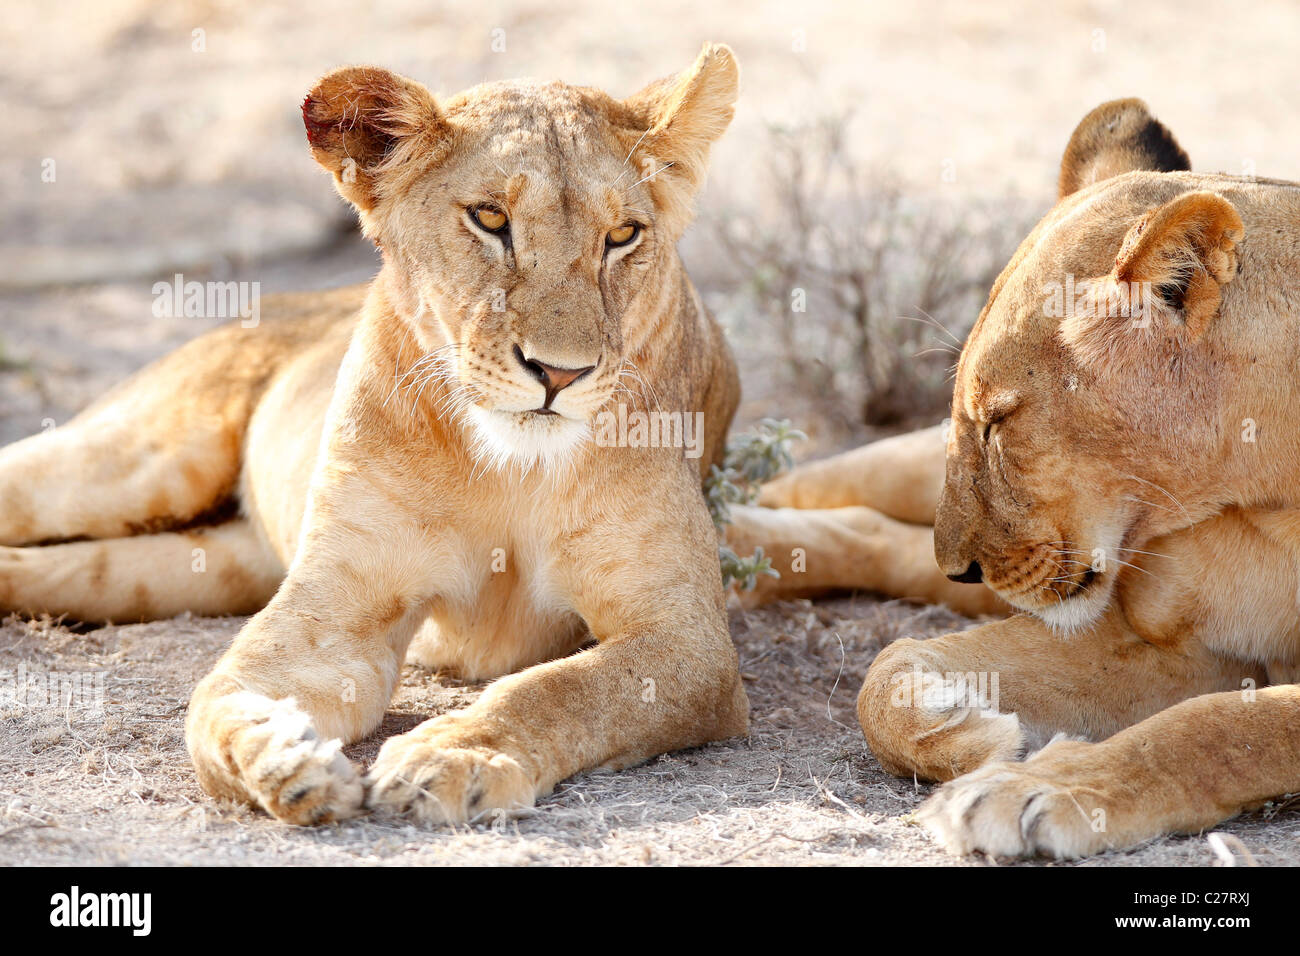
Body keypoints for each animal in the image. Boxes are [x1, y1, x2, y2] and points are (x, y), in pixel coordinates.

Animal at [0, 44, 750, 825]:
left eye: (624, 235)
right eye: (490, 218)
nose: (559, 373)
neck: (508, 469)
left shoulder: (687, 641)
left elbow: (561, 689)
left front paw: (456, 754)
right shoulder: (338, 609)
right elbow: (218, 697)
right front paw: (281, 756)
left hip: (186, 571)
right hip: (127, 462)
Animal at [726, 98, 1300, 858]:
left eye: (998, 423)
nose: (961, 570)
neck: (1264, 495)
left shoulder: (1205, 664)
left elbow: (1228, 725)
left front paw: (1039, 788)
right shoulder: (1175, 642)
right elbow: (889, 665)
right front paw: (961, 726)